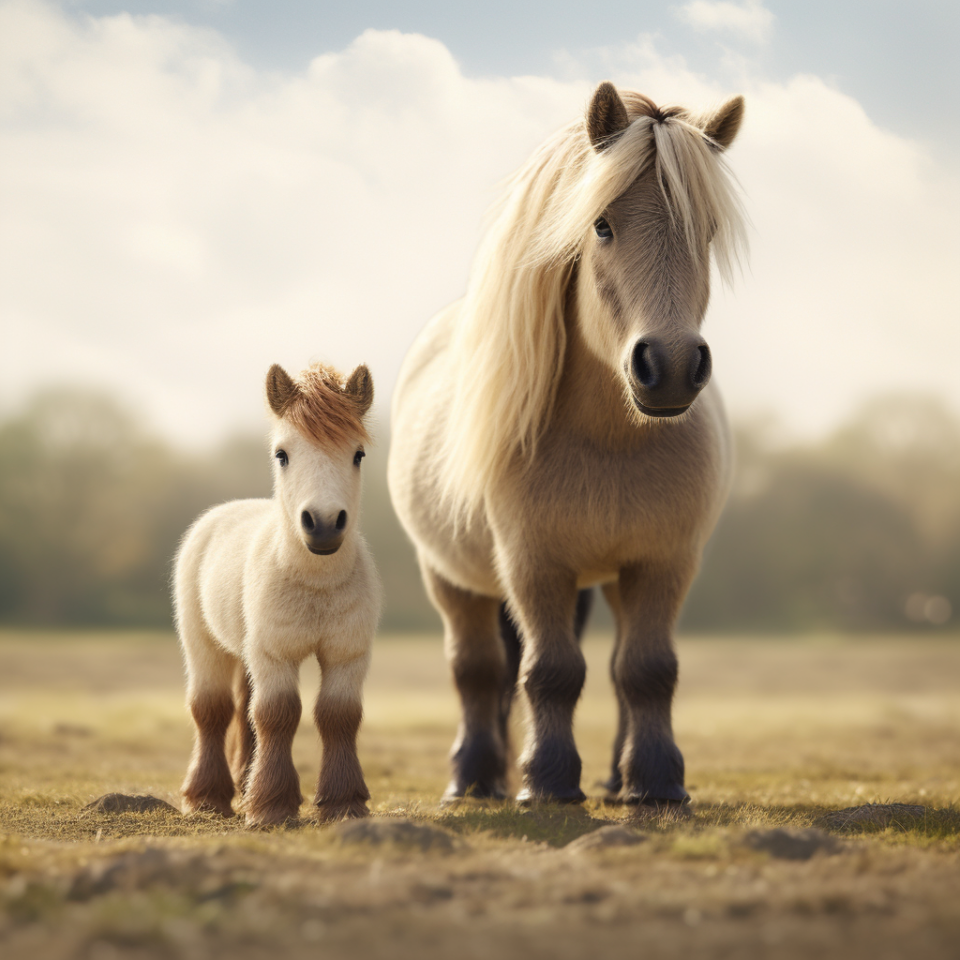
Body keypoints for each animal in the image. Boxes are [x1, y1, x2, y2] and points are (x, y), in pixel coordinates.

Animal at [175, 361, 381, 826]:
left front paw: (343, 803)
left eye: (358, 454)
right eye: (282, 454)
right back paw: (207, 797)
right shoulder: (274, 653)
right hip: (204, 646)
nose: (323, 524)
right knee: (211, 710)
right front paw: (271, 807)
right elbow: (277, 715)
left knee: (242, 711)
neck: (314, 586)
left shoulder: (347, 653)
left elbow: (339, 716)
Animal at [388, 81, 746, 807]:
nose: (669, 366)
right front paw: (546, 783)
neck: (610, 441)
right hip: (451, 578)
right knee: (476, 669)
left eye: (708, 231)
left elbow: (647, 670)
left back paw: (611, 778)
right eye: (601, 224)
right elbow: (547, 671)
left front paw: (655, 784)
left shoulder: (663, 561)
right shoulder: (533, 564)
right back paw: (474, 778)